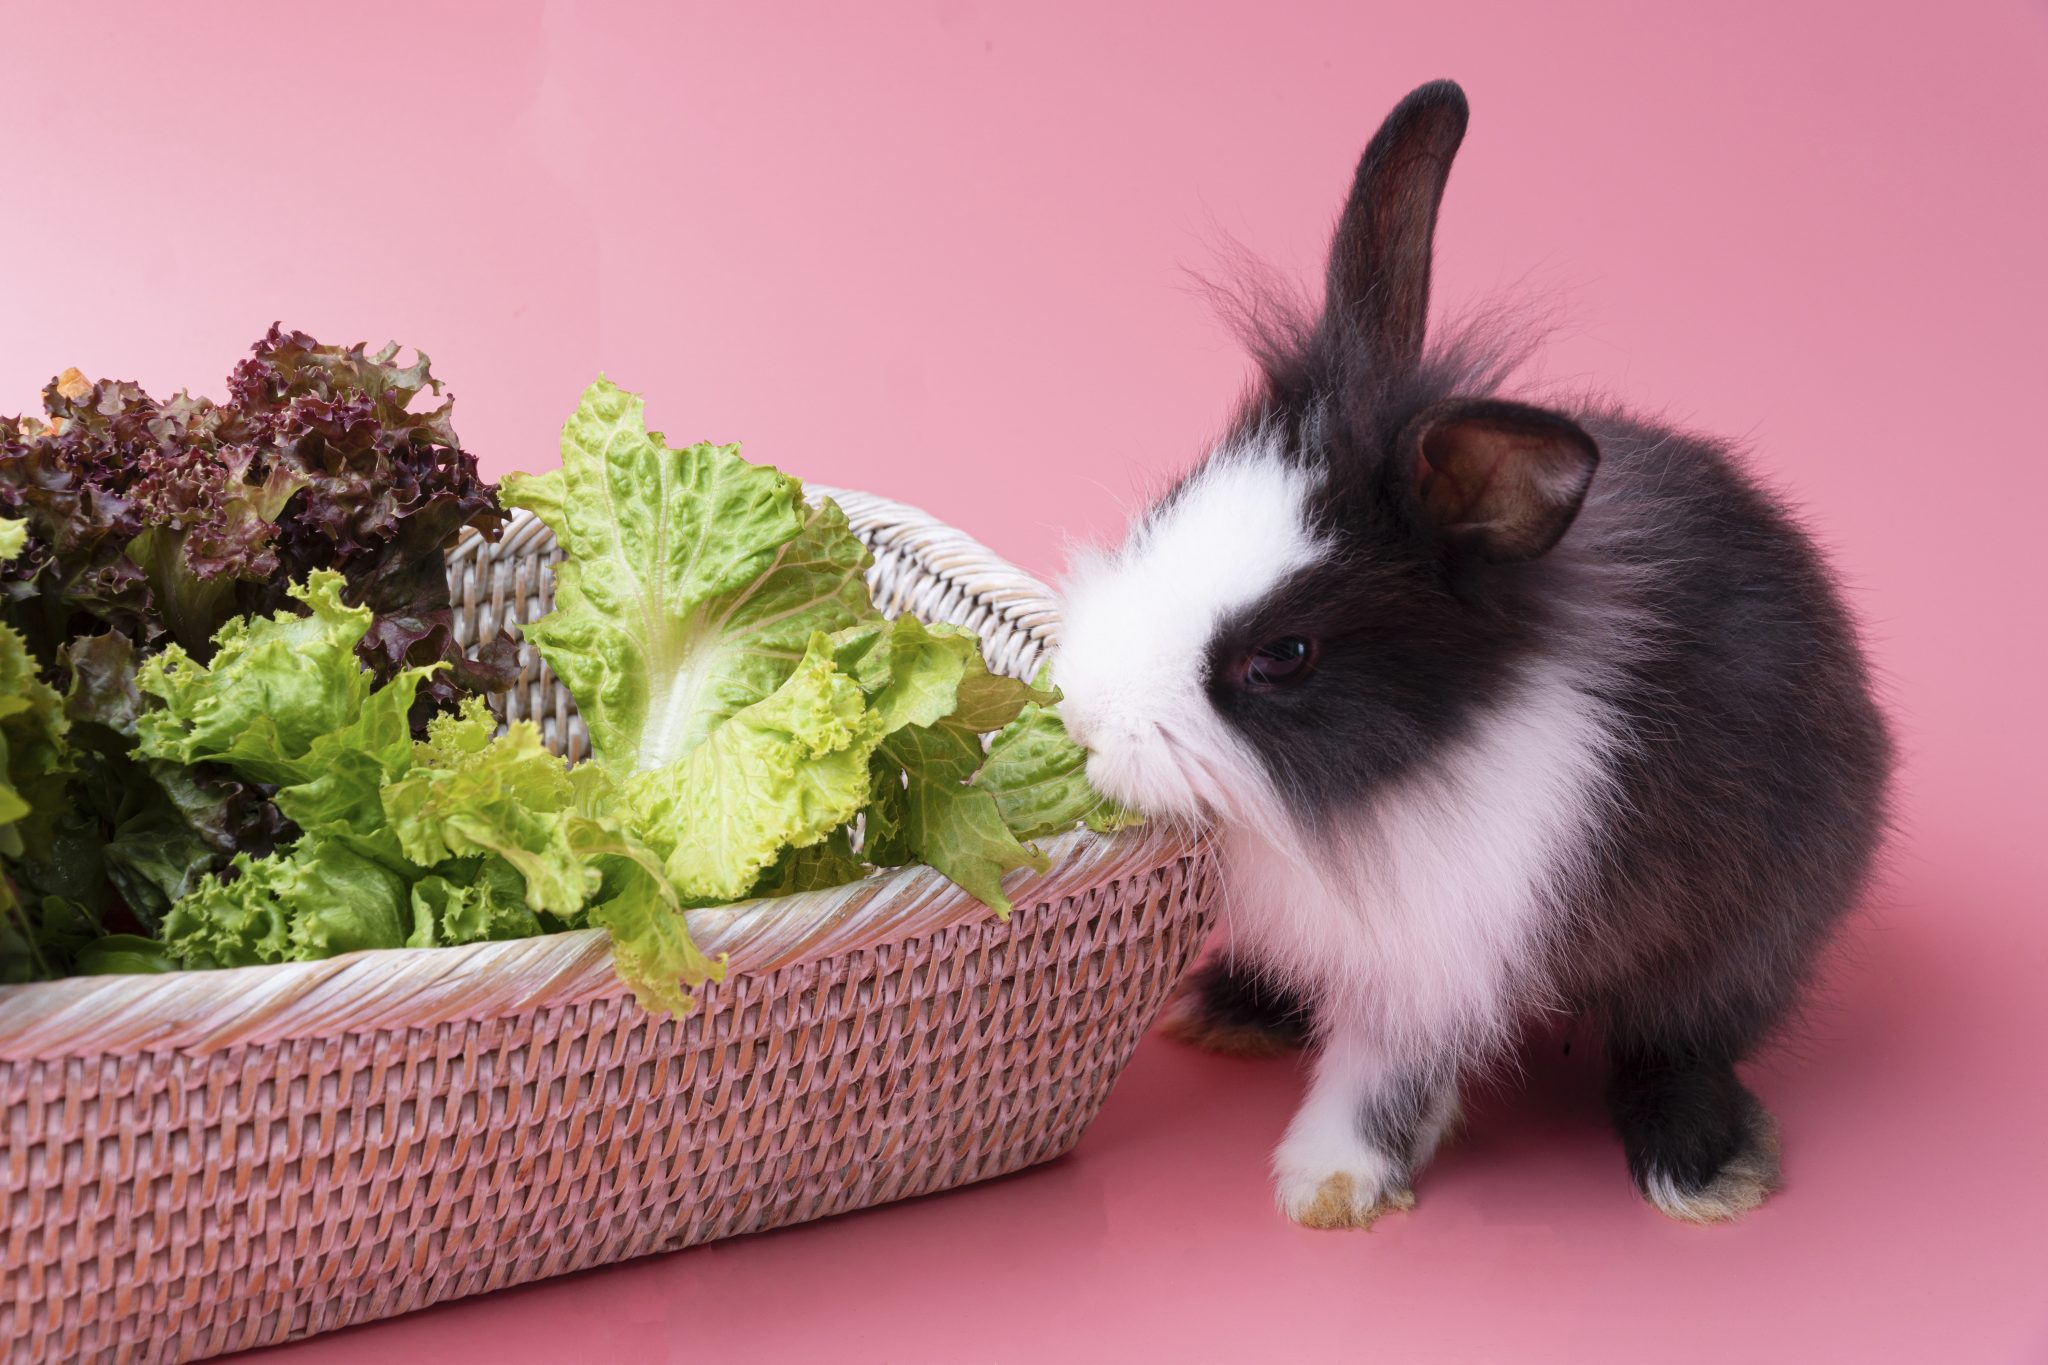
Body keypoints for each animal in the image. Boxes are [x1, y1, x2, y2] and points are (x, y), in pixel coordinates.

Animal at [1051, 79, 1892, 1228]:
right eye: (1168, 507)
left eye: (1285, 656)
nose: (1084, 716)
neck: (1386, 778)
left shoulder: (1439, 956)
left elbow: (1384, 1076)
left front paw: (1326, 1189)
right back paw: (1229, 1010)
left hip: (1750, 933)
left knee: (1682, 1041)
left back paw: (1700, 1170)